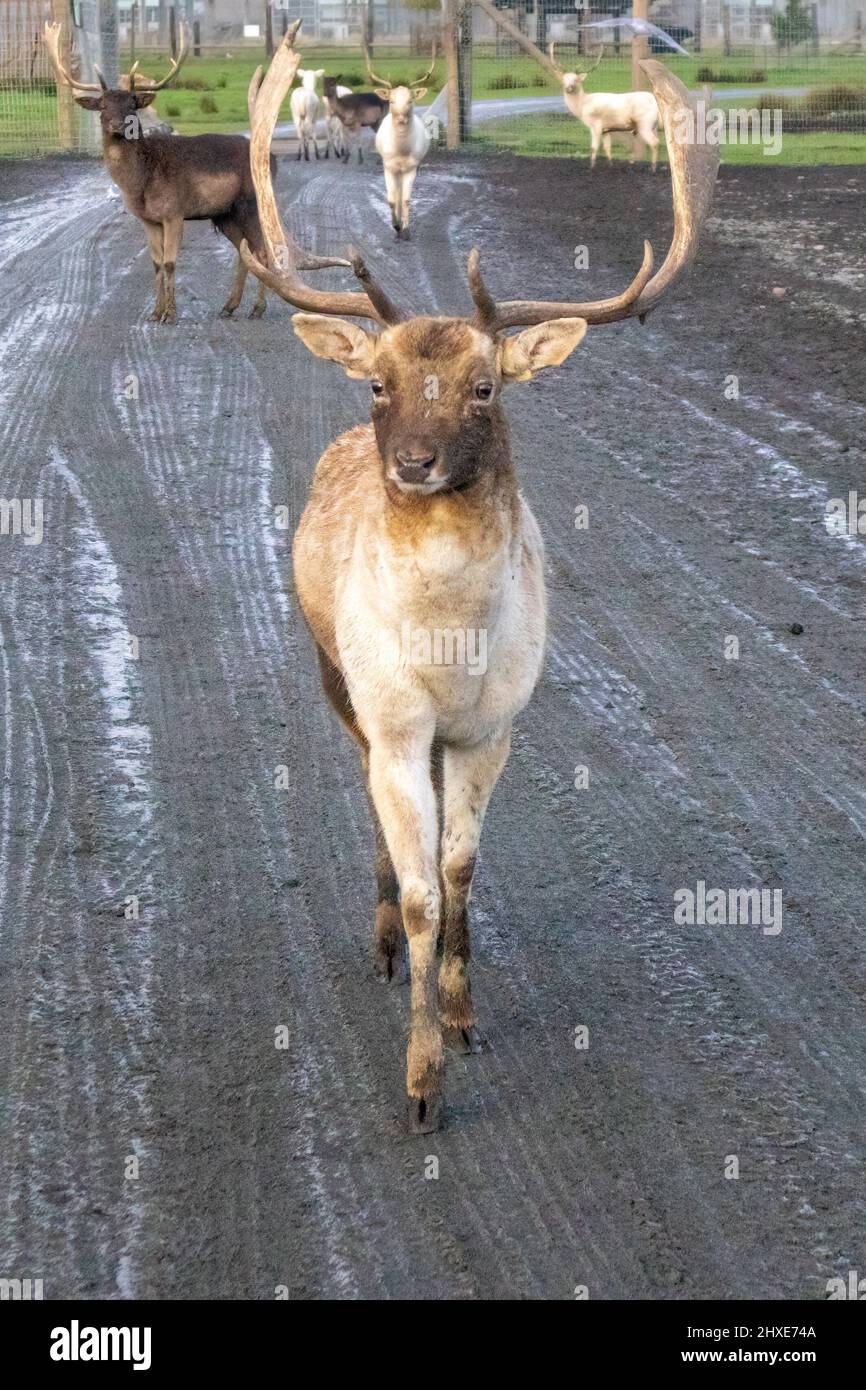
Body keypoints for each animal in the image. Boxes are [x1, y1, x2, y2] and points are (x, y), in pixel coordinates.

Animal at [43, 19, 345, 323]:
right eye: (103, 105)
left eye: (132, 104)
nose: (118, 125)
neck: (140, 182)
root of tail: (270, 159)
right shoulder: (148, 219)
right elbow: (155, 263)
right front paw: (155, 312)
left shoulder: (174, 211)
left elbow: (170, 262)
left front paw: (170, 314)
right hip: (224, 214)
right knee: (243, 252)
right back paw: (229, 306)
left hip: (249, 203)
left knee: (261, 251)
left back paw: (257, 309)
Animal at [364, 43, 437, 240]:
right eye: (391, 100)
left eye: (410, 100)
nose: (401, 119)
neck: (401, 151)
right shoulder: (388, 165)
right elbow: (391, 199)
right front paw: (395, 225)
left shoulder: (412, 166)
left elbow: (406, 199)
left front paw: (405, 228)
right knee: (395, 192)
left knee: (401, 193)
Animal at [549, 42, 660, 171]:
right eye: (564, 79)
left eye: (576, 79)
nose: (568, 88)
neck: (582, 106)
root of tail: (657, 104)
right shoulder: (606, 129)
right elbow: (607, 148)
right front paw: (610, 165)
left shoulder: (595, 124)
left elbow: (594, 147)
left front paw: (591, 167)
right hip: (653, 125)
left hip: (644, 123)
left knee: (655, 142)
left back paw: (653, 168)